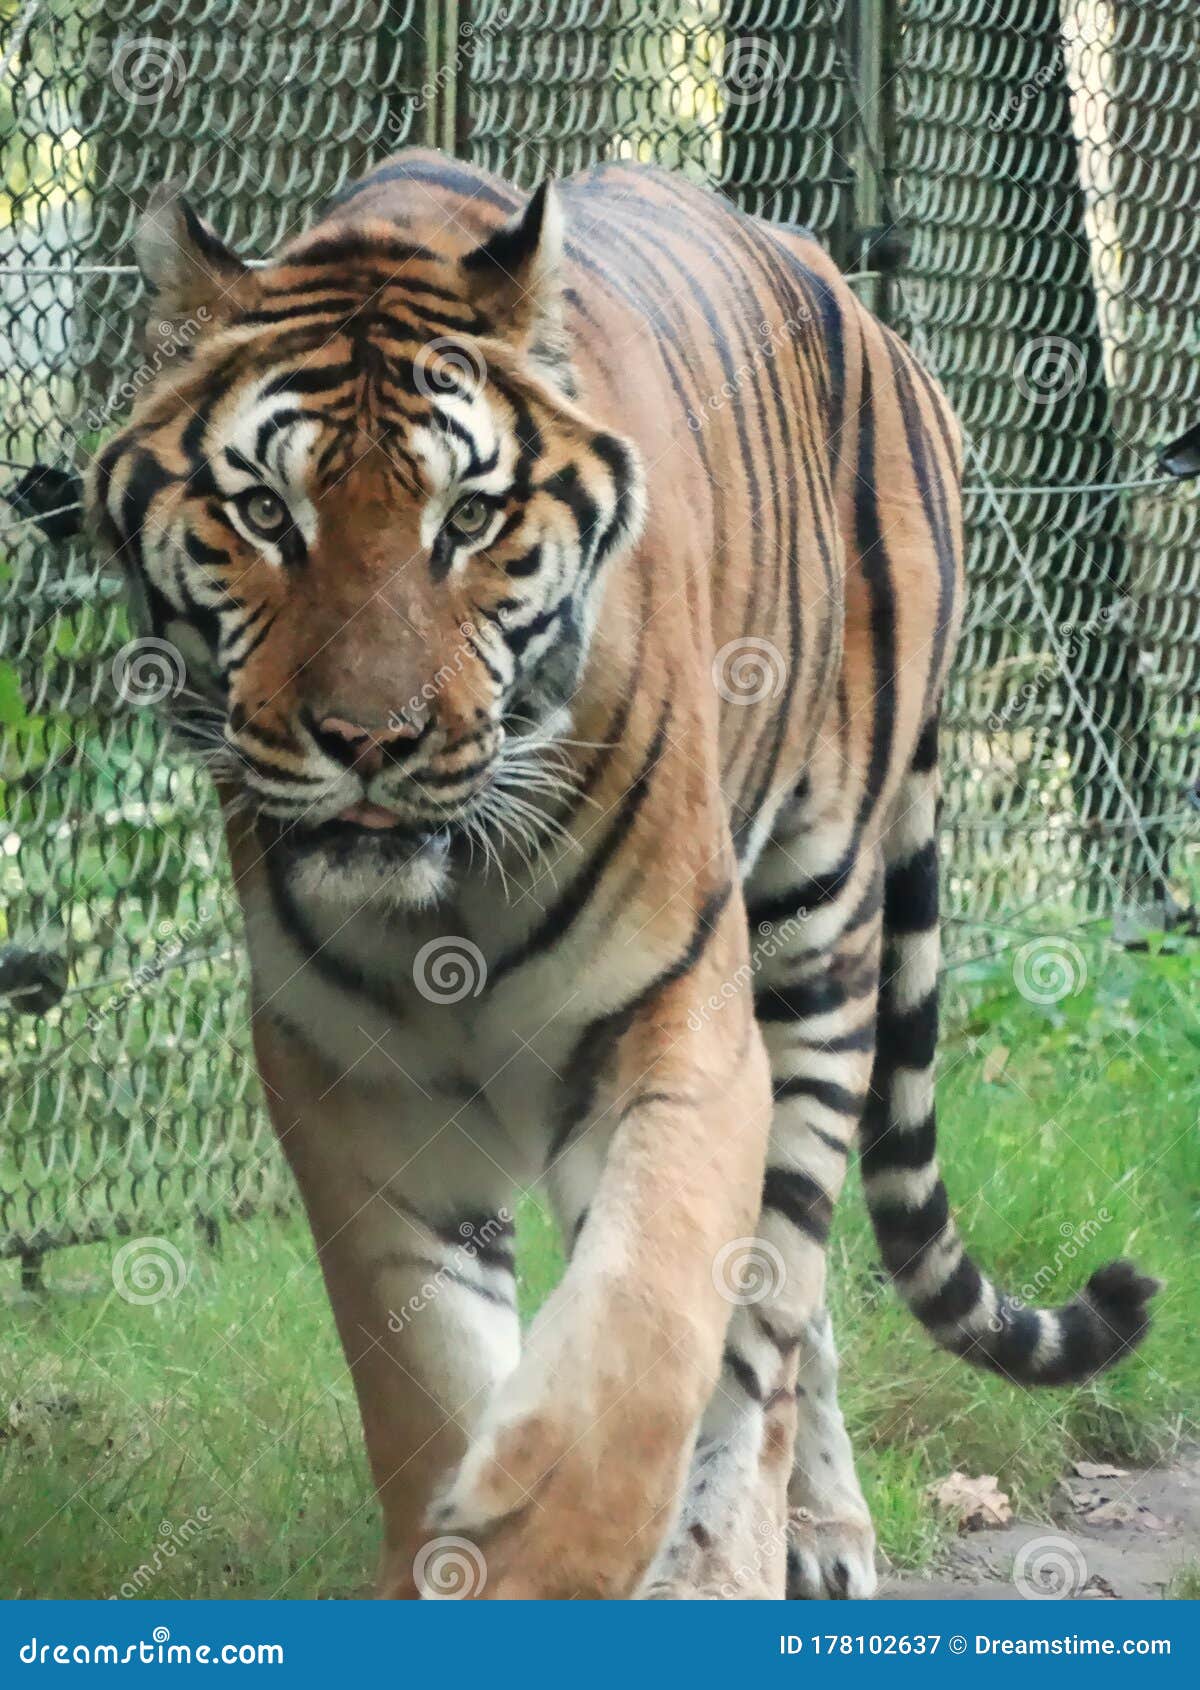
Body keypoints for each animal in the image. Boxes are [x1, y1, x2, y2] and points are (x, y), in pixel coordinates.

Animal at [88, 149, 1157, 1601]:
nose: (372, 740)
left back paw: (754, 1547)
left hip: (814, 940)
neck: (442, 900)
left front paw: (557, 1542)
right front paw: (456, 1550)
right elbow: (424, 1373)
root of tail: (864, 309)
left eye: (467, 518)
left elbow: (652, 1321)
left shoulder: (679, 1018)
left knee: (770, 1314)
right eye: (265, 513)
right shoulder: (350, 1081)